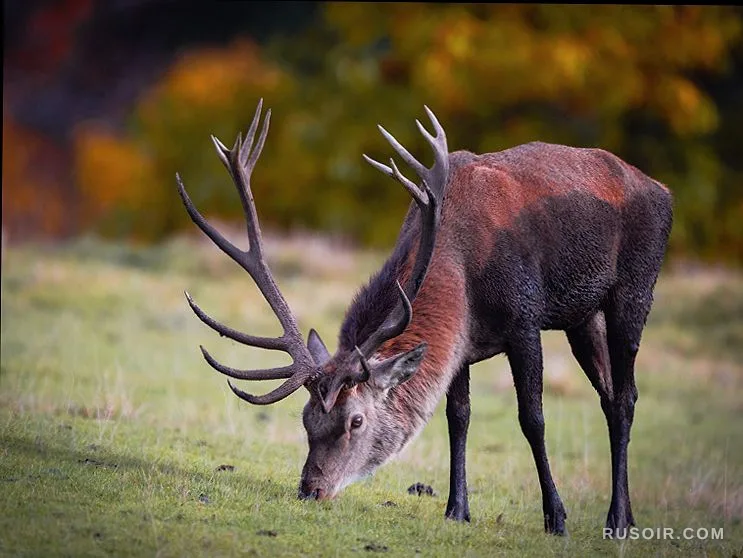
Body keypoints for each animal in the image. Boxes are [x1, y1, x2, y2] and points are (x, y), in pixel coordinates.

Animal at [176, 99, 673, 536]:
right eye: (305, 420)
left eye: (356, 421)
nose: (310, 490)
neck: (463, 269)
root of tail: (661, 188)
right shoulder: (462, 343)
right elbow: (458, 416)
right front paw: (457, 510)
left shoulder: (524, 319)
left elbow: (532, 418)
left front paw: (557, 518)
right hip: (581, 317)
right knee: (609, 395)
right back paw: (626, 515)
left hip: (635, 288)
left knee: (626, 396)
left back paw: (617, 520)